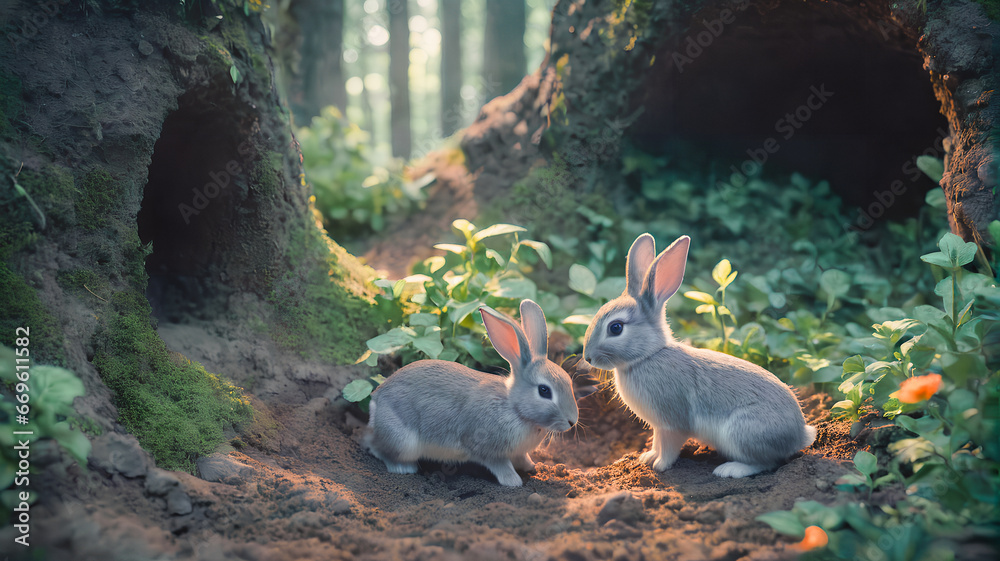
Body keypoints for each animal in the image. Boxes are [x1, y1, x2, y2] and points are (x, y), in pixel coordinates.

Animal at [364, 299, 579, 487]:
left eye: (569, 382)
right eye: (544, 391)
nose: (572, 421)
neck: (516, 409)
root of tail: (377, 399)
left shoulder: (518, 452)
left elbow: (522, 458)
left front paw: (533, 467)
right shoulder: (488, 449)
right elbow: (501, 466)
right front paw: (513, 482)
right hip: (402, 440)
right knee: (376, 448)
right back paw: (403, 468)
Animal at [583, 234, 817, 478]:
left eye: (616, 328)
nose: (587, 357)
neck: (648, 356)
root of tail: (799, 435)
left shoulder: (671, 425)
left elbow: (668, 447)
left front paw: (660, 466)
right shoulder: (658, 427)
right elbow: (656, 443)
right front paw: (648, 457)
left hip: (742, 432)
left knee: (766, 463)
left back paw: (729, 470)